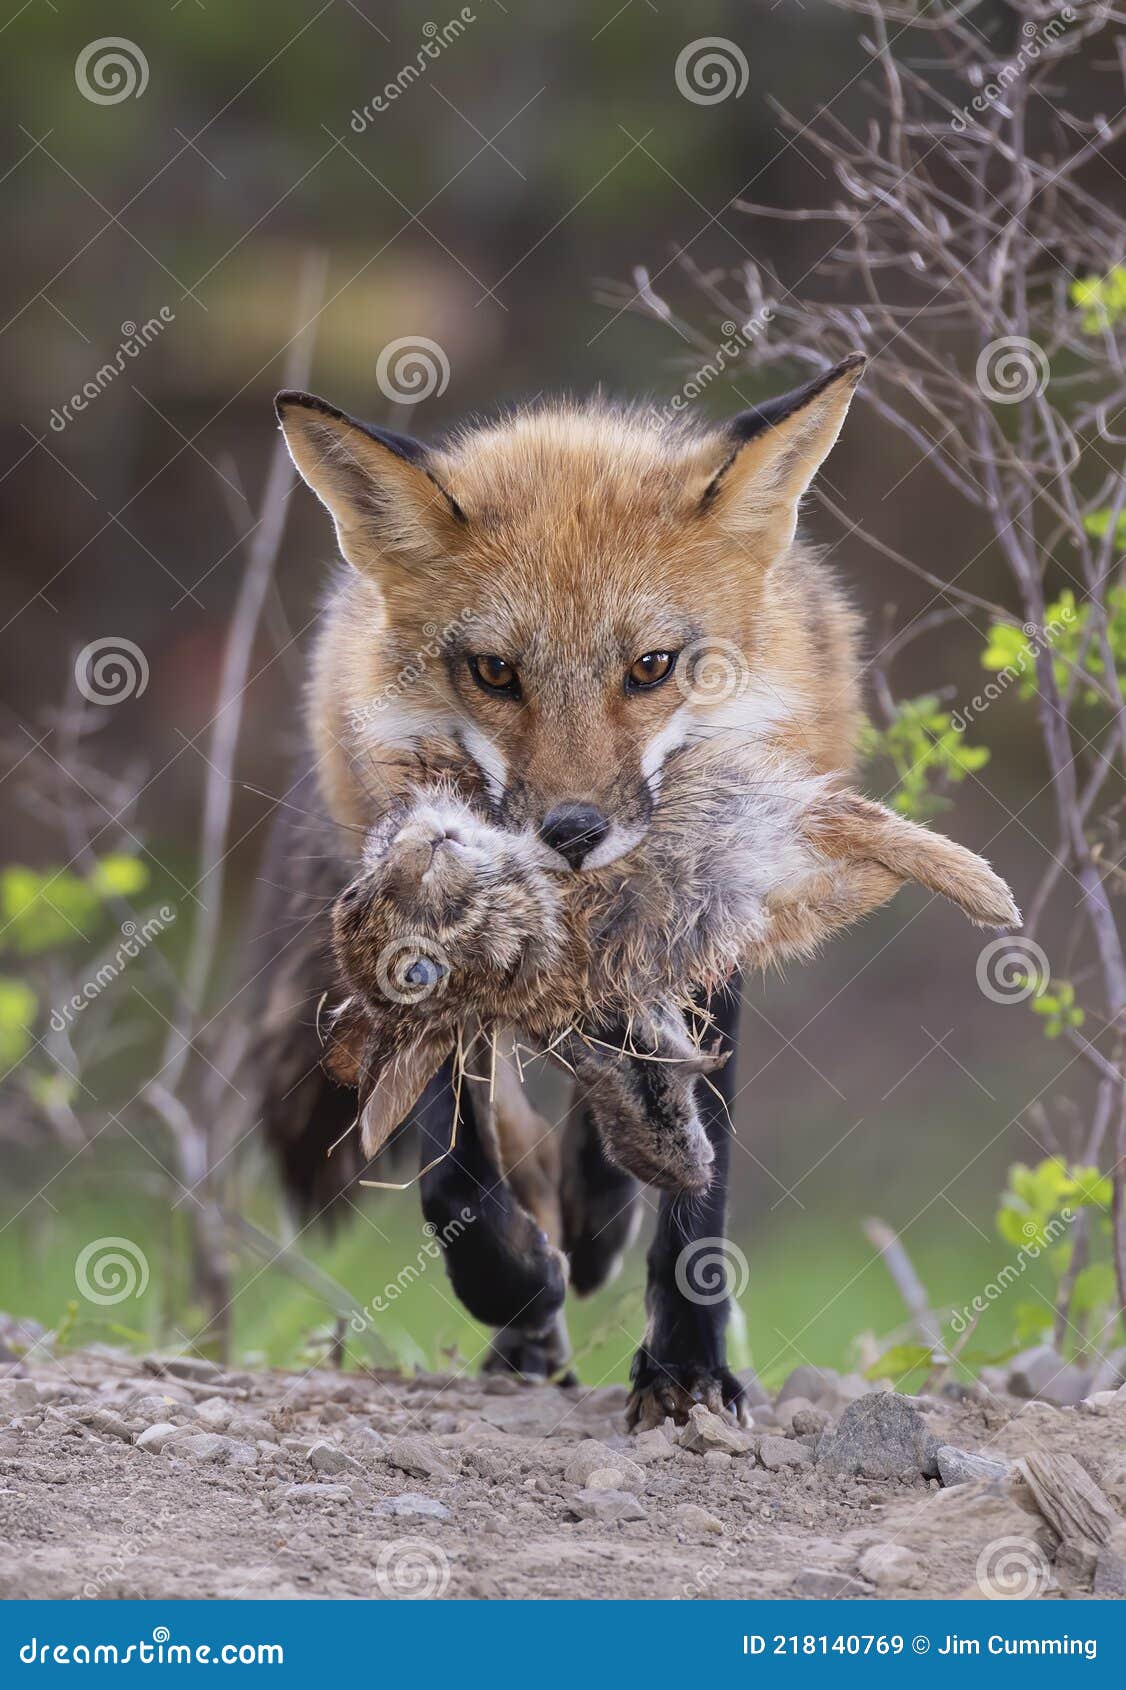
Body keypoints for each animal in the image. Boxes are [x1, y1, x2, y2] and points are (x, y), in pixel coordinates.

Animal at [252, 357, 1017, 1425]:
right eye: (494, 672)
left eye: (650, 667)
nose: (573, 833)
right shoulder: (418, 928)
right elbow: (452, 1165)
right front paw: (513, 1284)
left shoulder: (710, 925)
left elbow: (703, 1176)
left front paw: (687, 1363)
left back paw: (601, 1209)